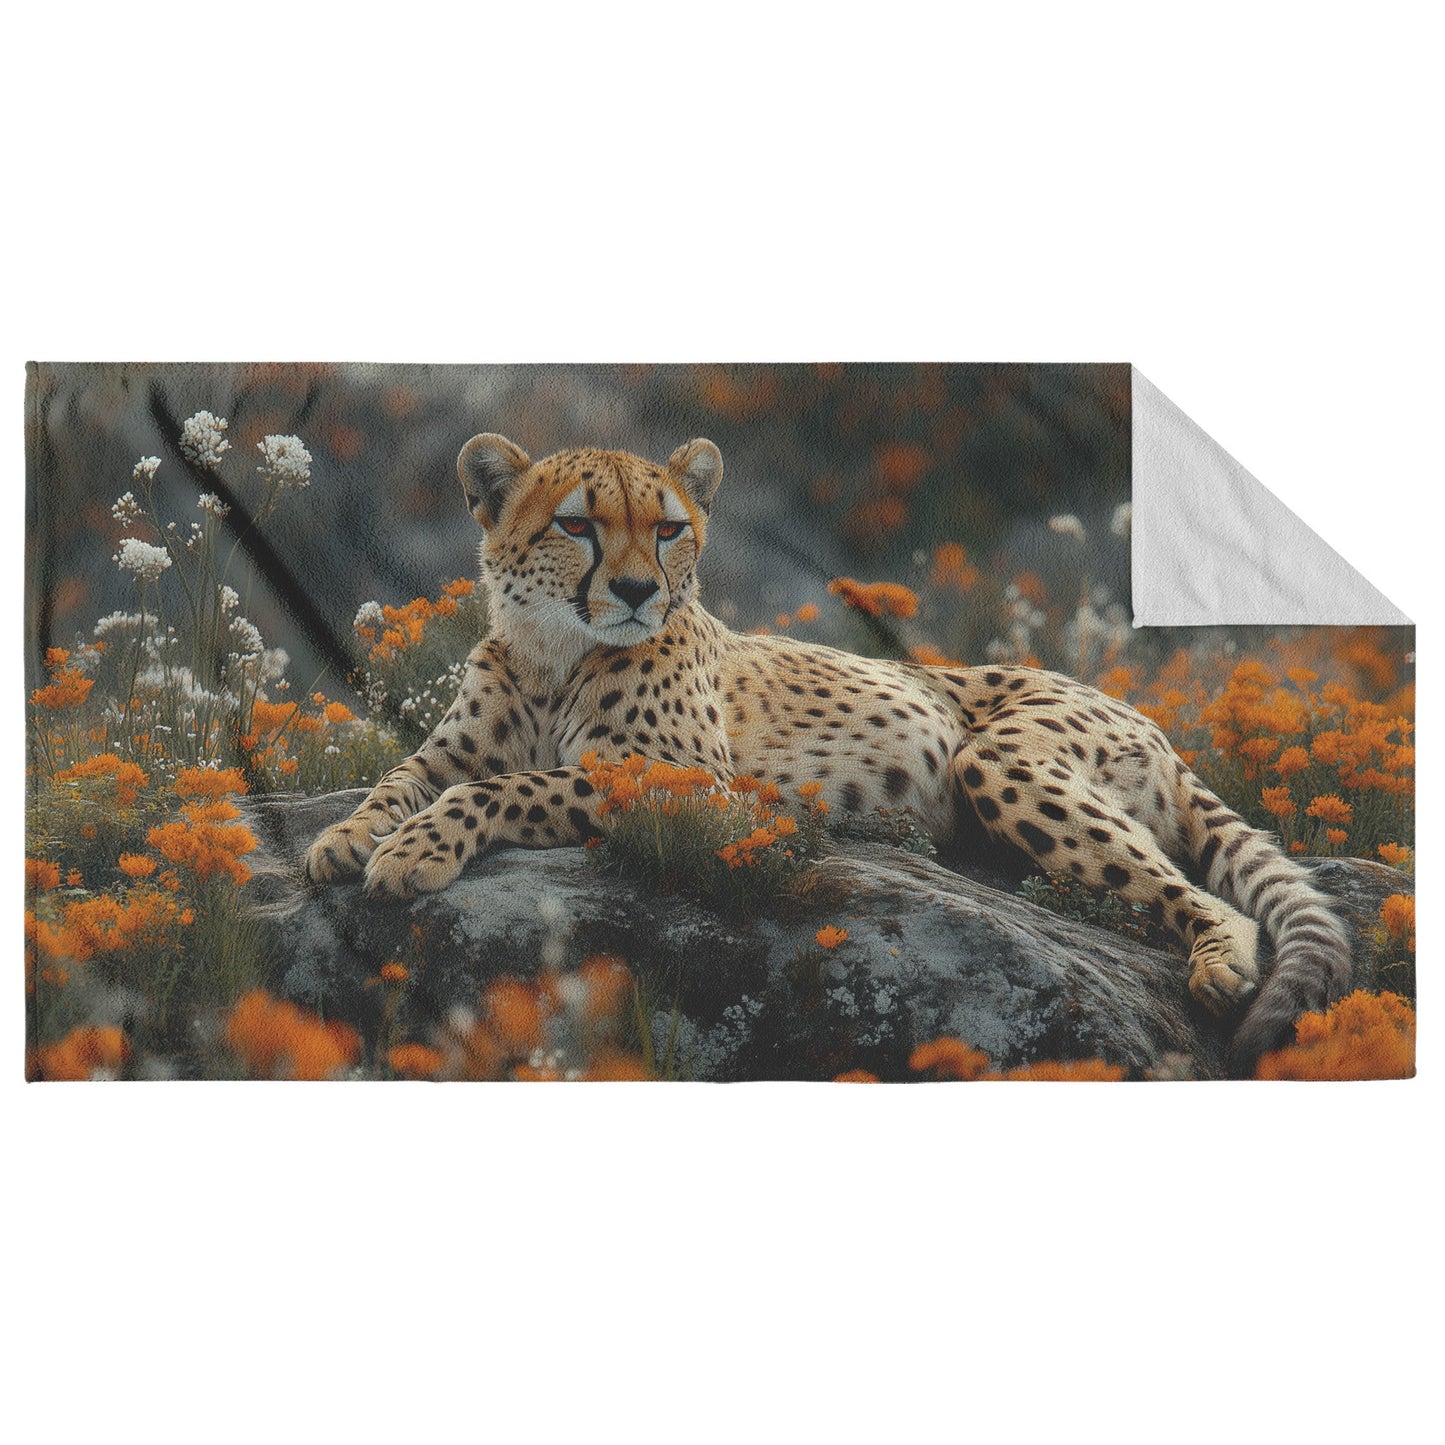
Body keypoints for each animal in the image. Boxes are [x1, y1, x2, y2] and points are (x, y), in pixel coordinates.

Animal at [306, 432, 1353, 1072]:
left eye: (669, 528)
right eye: (576, 523)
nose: (640, 591)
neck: (551, 651)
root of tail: (1147, 717)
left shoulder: (697, 786)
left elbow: (509, 787)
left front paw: (413, 850)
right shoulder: (456, 749)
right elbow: (402, 775)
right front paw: (348, 837)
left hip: (1003, 761)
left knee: (1207, 894)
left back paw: (1216, 960)